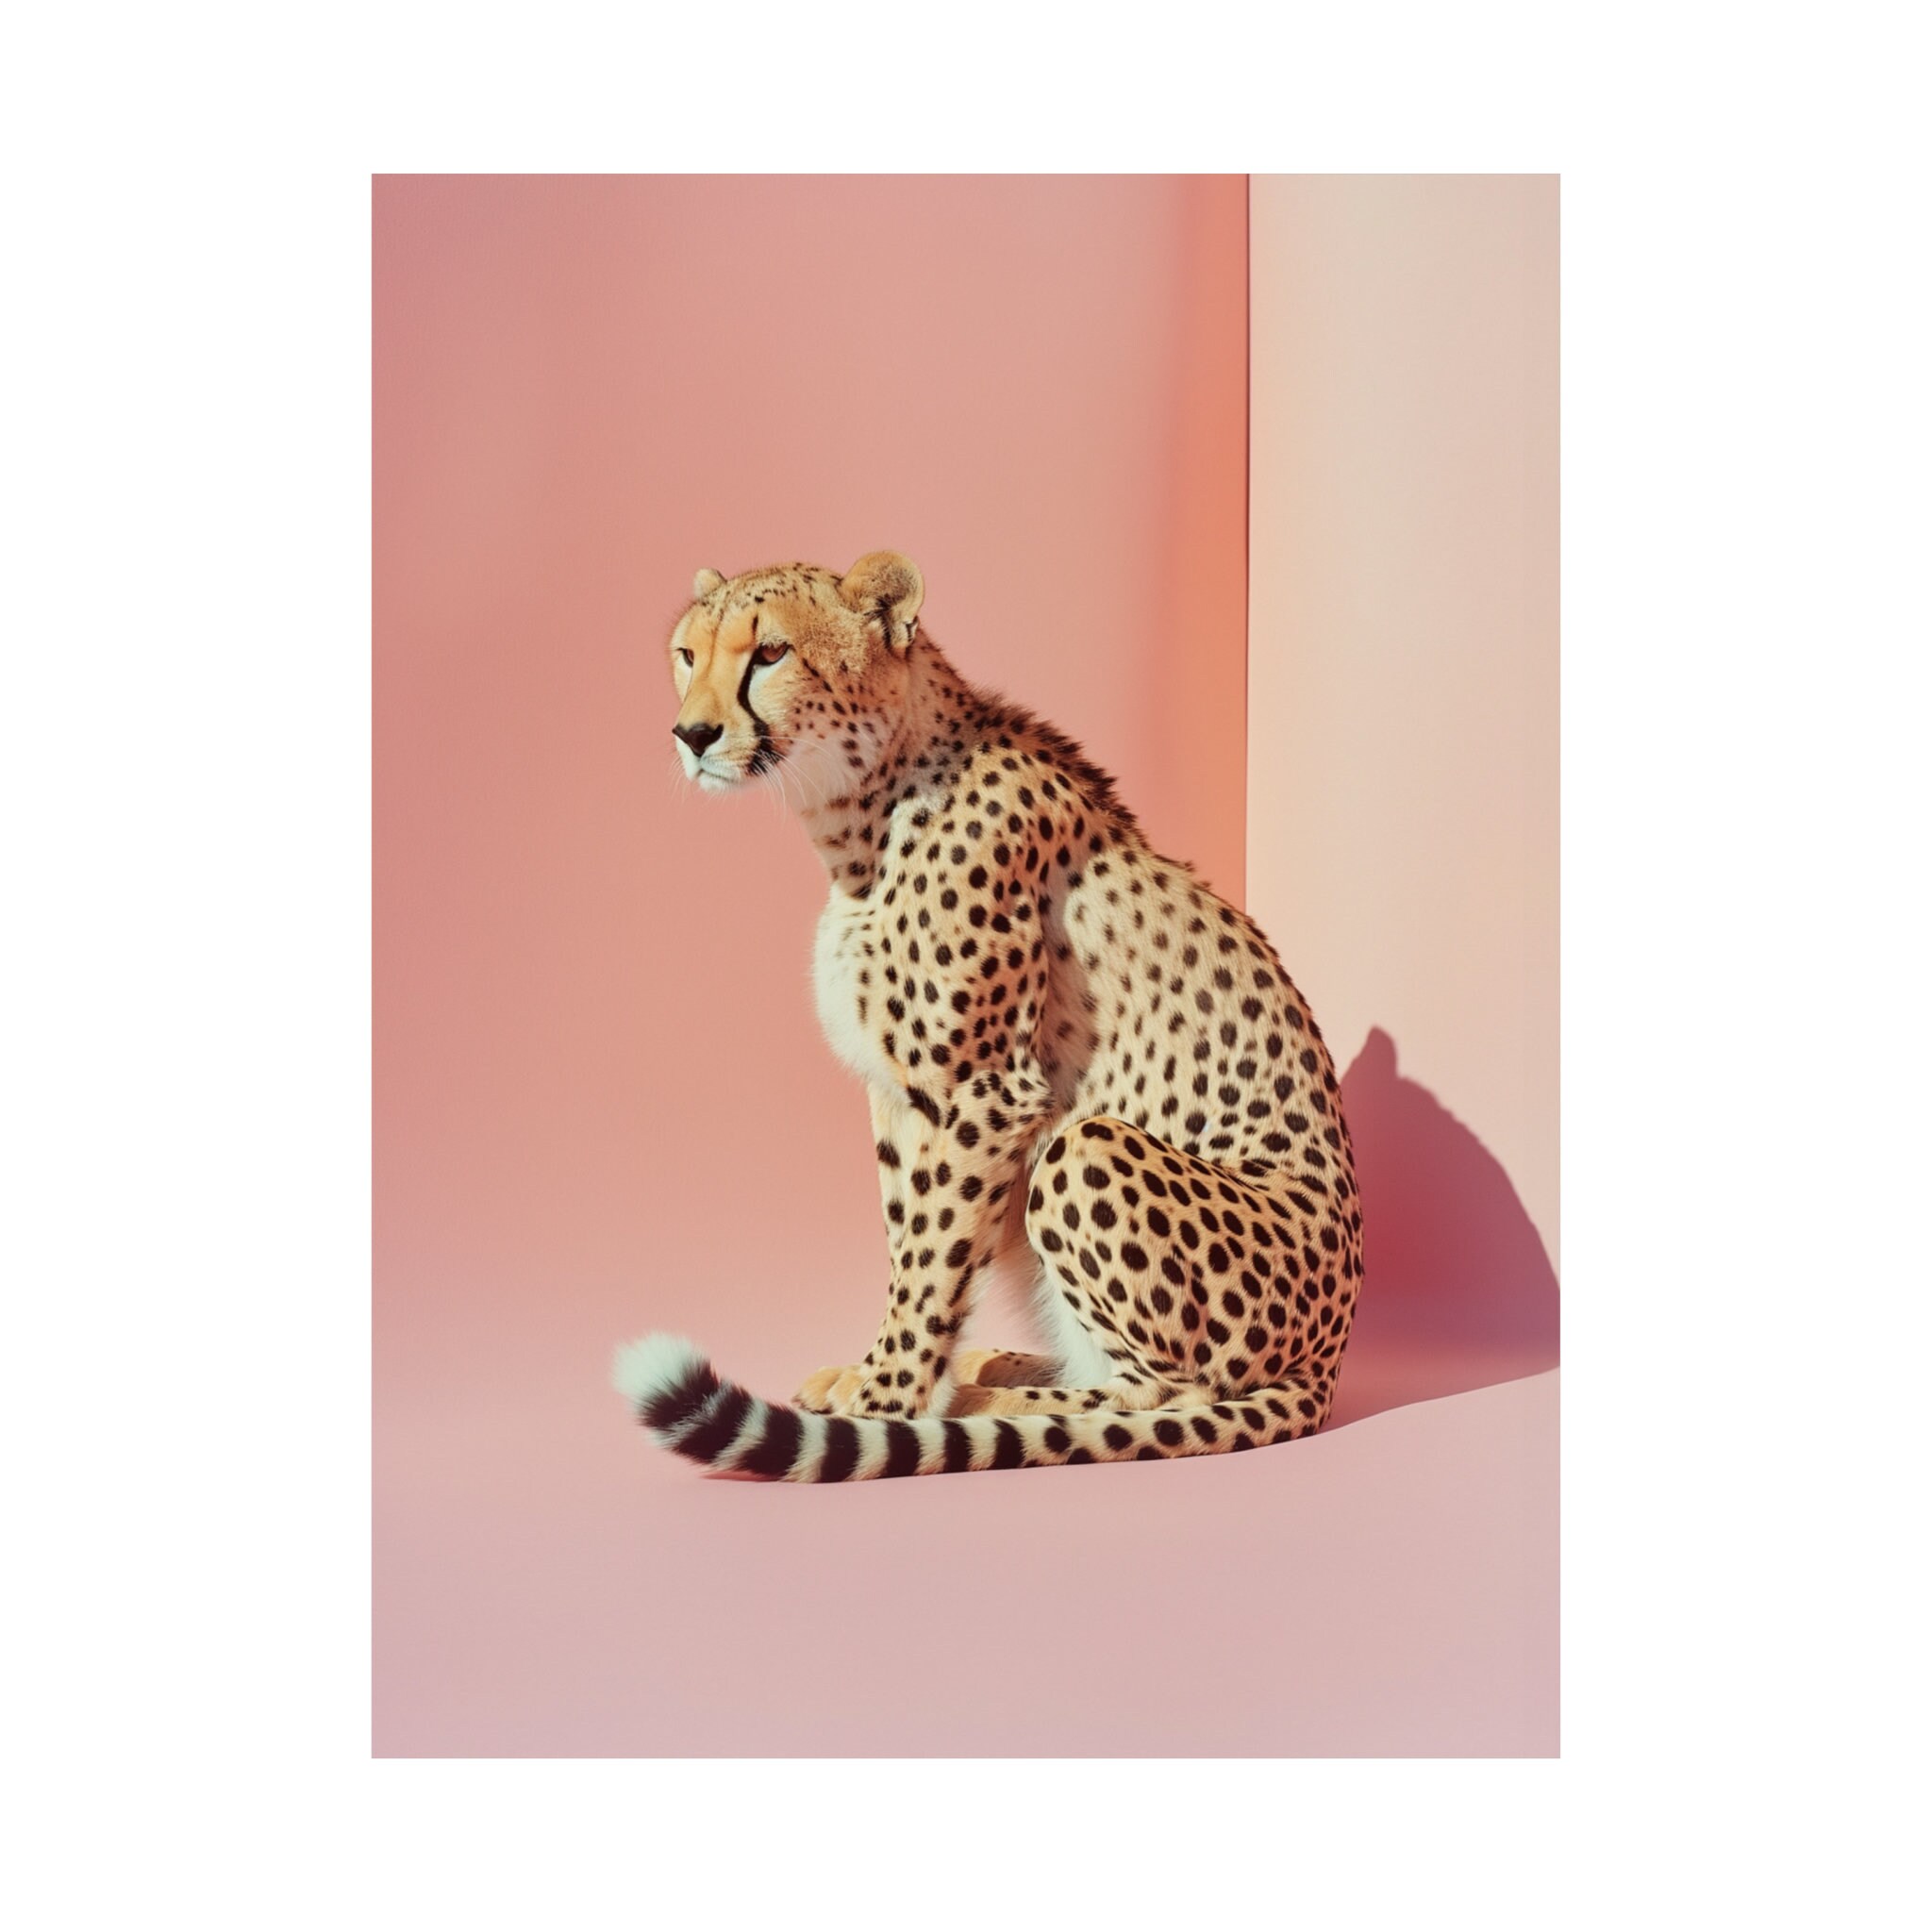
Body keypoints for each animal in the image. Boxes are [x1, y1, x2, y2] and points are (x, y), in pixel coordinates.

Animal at [613, 551, 1363, 1480]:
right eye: (687, 655)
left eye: (771, 653)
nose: (693, 735)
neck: (864, 815)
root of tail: (1328, 1364)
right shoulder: (898, 1094)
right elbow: (912, 1238)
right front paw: (881, 1375)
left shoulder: (986, 1091)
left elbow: (932, 1253)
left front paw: (888, 1397)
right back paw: (996, 1366)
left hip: (1086, 1151)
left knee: (1166, 1393)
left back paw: (987, 1402)